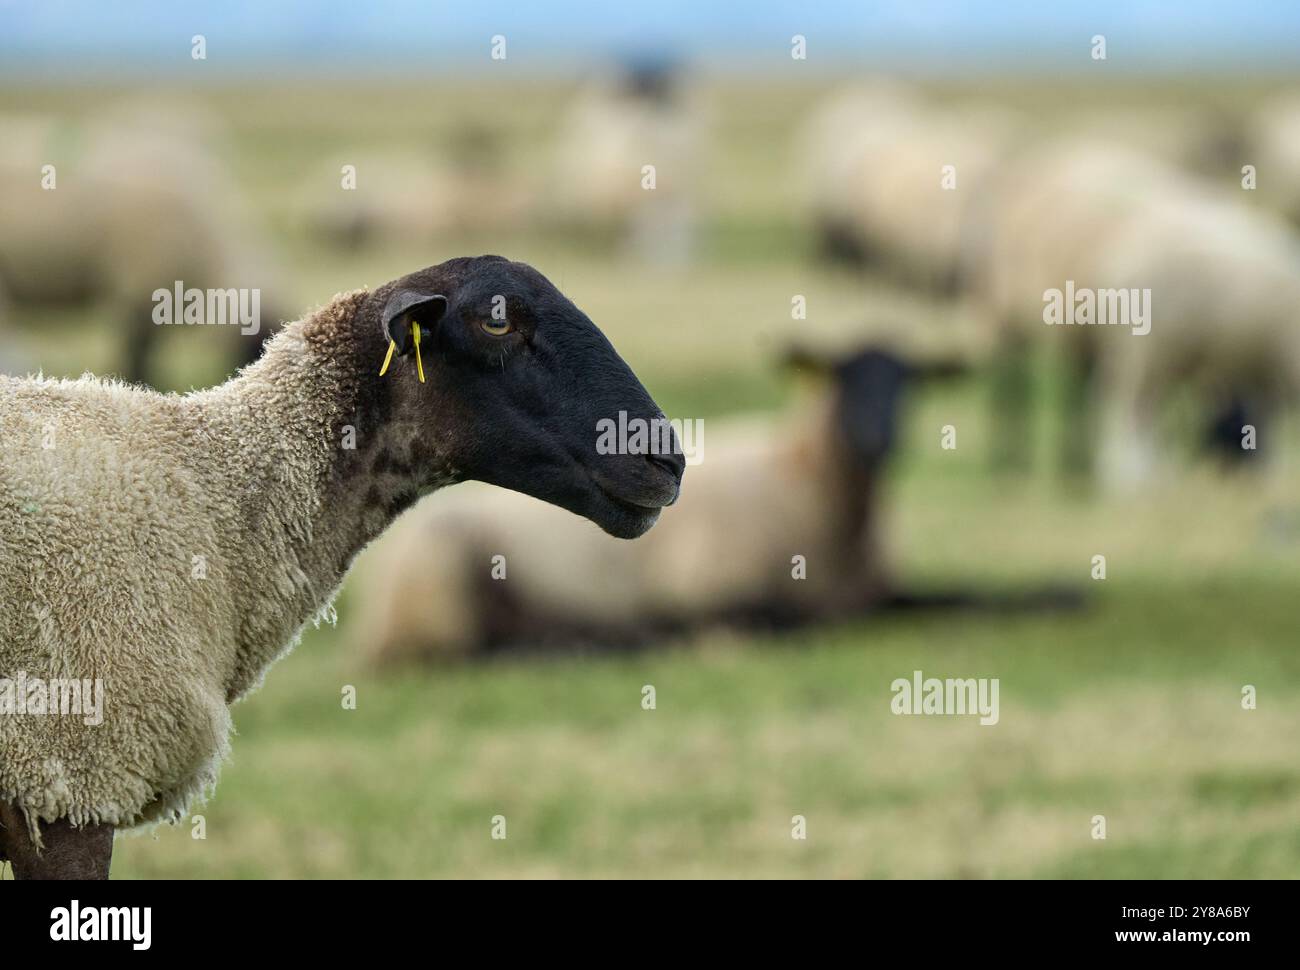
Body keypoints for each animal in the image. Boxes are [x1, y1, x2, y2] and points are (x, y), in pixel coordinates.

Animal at [350, 344, 965, 665]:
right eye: (842, 377)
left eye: (912, 382)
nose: (879, 436)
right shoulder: (710, 591)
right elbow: (778, 621)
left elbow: (972, 599)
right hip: (442, 595)